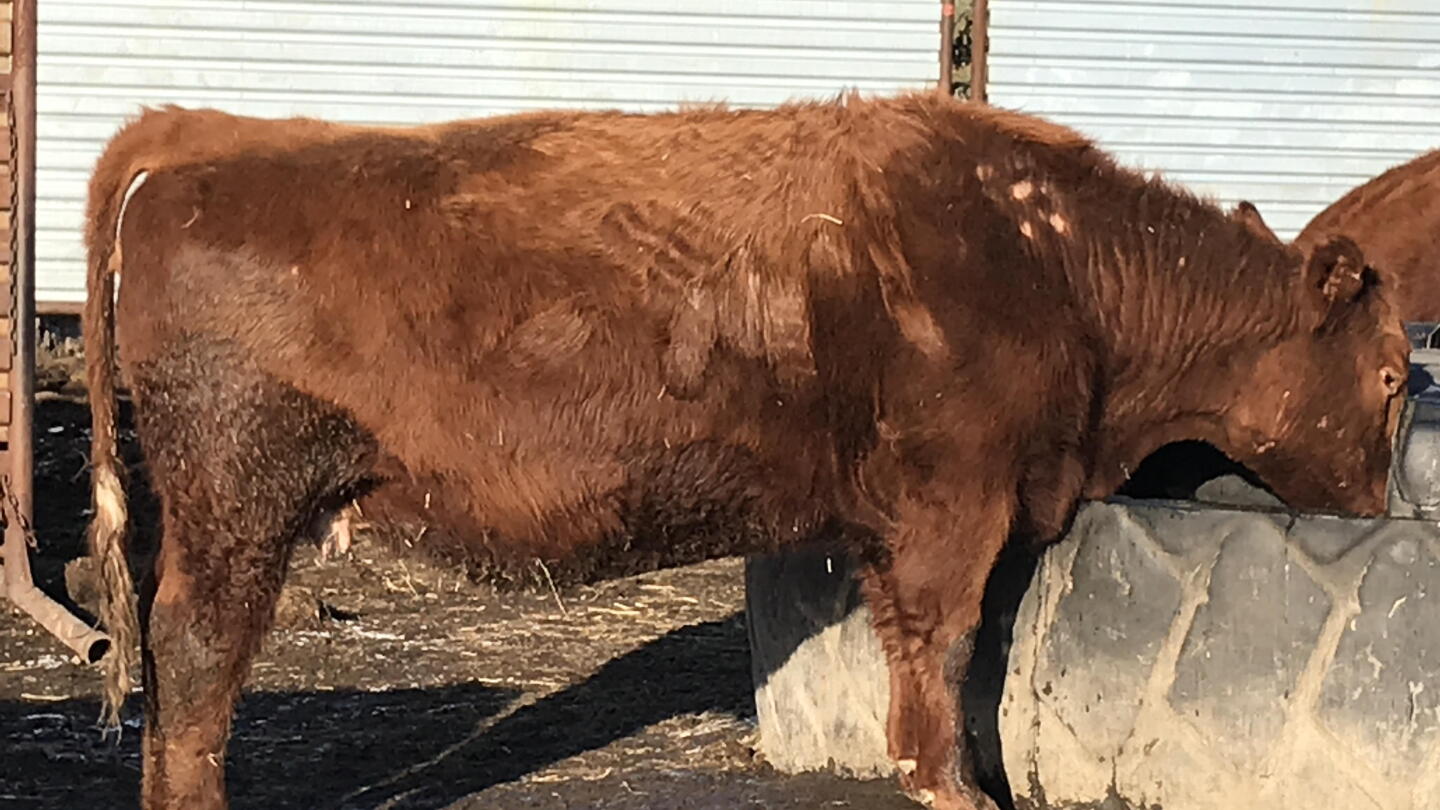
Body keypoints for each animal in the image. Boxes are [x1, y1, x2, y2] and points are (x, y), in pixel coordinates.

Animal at [82, 92, 1410, 810]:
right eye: (1396, 374)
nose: (1380, 506)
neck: (1052, 258)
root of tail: (213, 140)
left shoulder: (893, 520)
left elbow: (909, 642)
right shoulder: (956, 499)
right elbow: (945, 640)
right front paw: (951, 781)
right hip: (236, 504)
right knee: (195, 660)